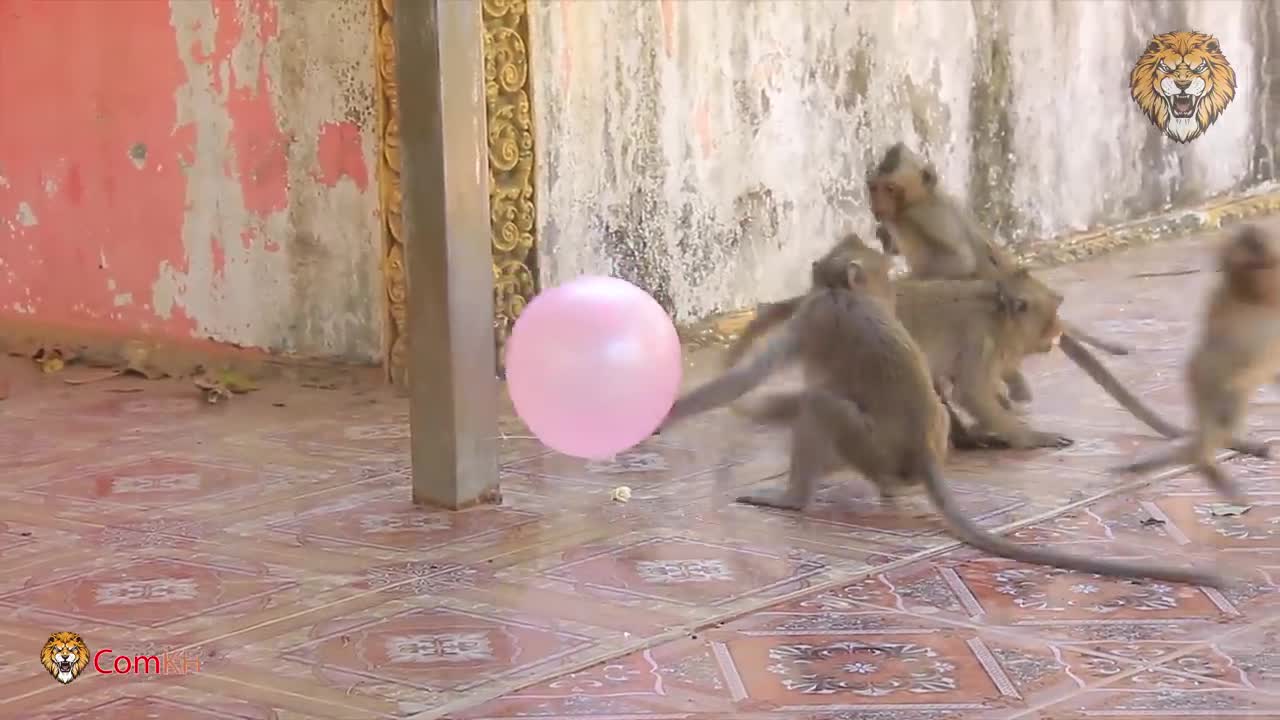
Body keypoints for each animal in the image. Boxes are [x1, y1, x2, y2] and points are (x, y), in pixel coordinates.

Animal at [663, 252, 1225, 587]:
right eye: (1049, 316)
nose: (1058, 331)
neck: (995, 309)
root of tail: (918, 459)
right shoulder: (982, 338)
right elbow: (977, 389)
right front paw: (1024, 431)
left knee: (824, 405)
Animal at [1114, 224, 1280, 503]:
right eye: (1249, 265)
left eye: (1263, 265)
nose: (1259, 280)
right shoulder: (1223, 299)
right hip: (1204, 383)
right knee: (1223, 402)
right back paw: (1204, 462)